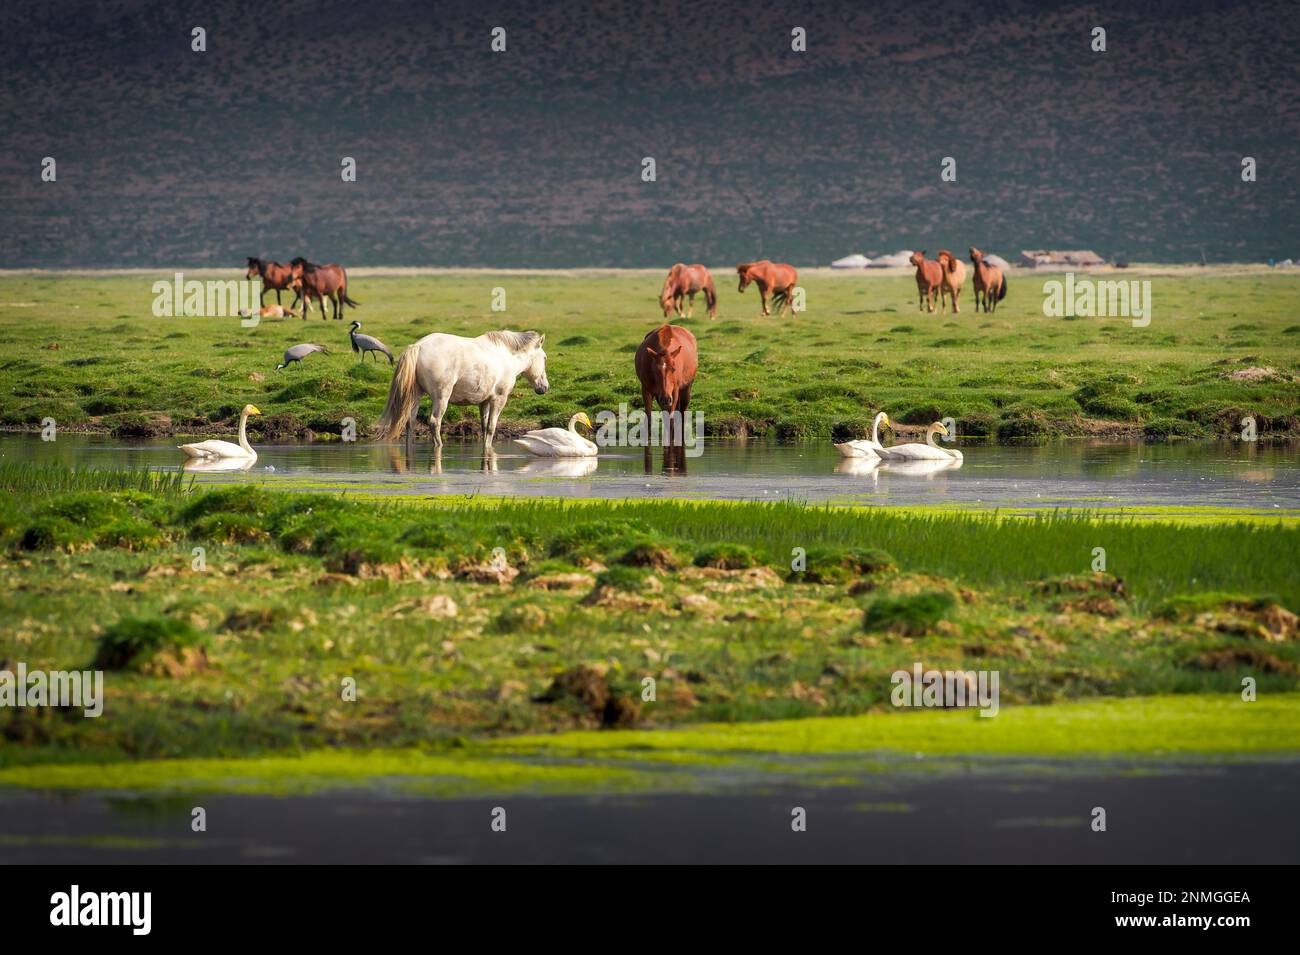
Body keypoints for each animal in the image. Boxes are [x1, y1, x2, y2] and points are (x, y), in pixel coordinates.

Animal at [373, 330, 549, 450]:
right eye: (545, 358)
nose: (545, 387)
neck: (507, 357)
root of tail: (418, 346)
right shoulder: (499, 399)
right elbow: (491, 427)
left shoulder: (484, 402)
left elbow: (484, 427)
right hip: (441, 397)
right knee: (434, 422)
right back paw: (439, 446)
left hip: (416, 395)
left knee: (410, 422)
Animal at [635, 323, 698, 452]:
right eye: (655, 370)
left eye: (673, 369)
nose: (666, 398)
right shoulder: (646, 390)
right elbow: (649, 420)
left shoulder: (675, 391)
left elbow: (671, 420)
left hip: (685, 390)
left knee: (681, 414)